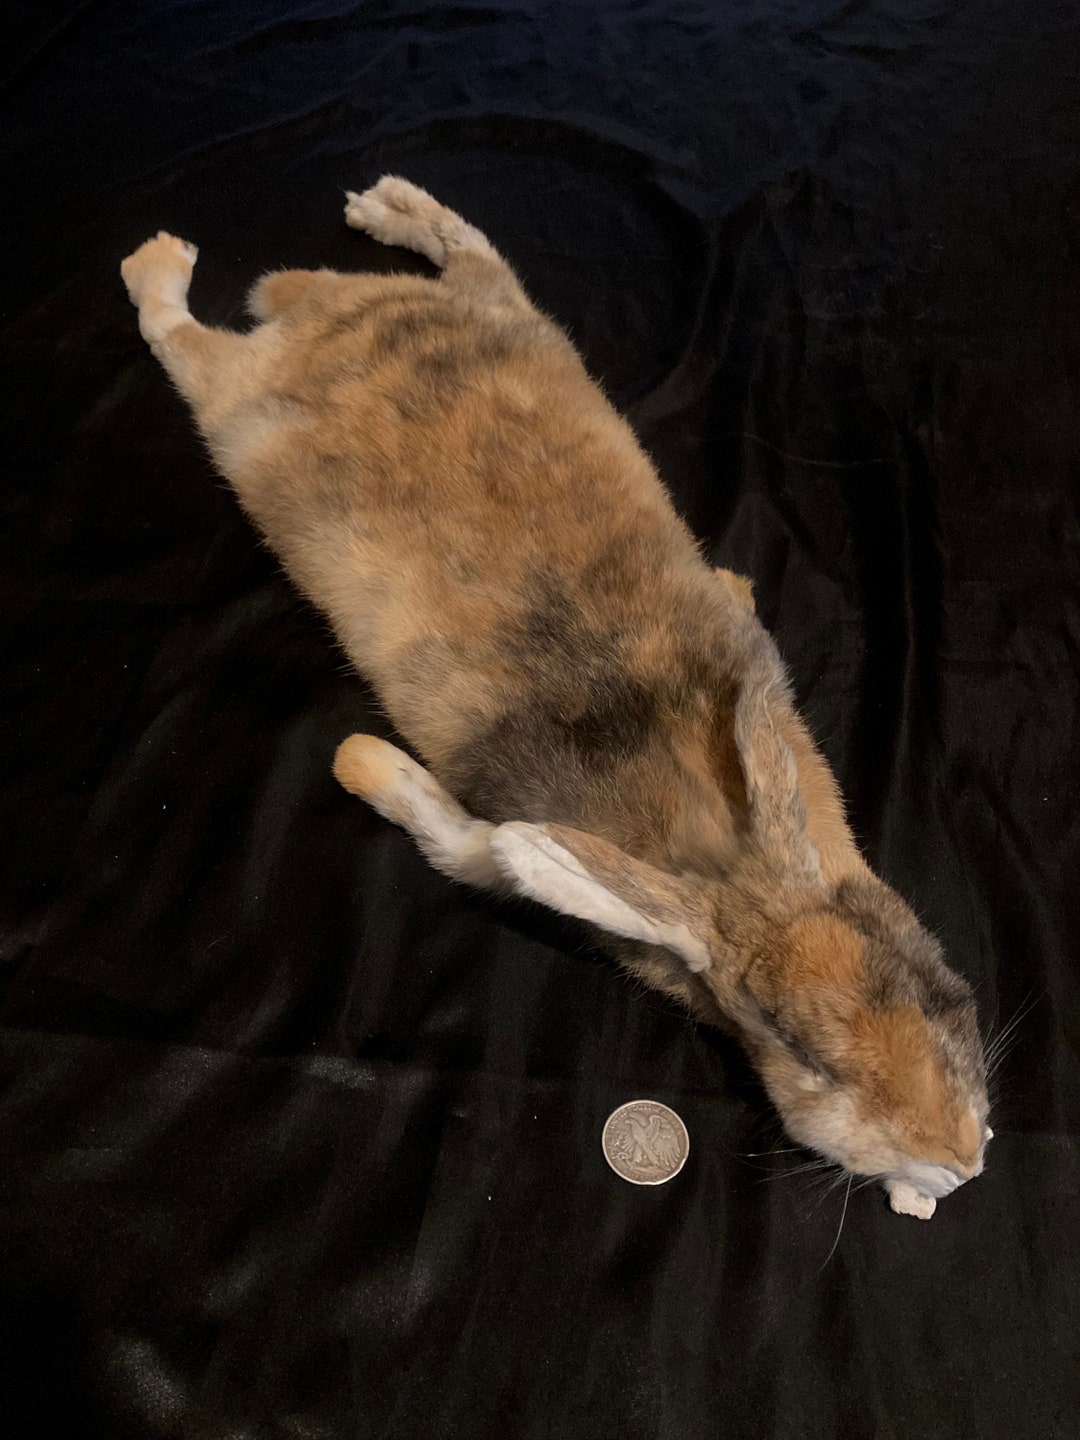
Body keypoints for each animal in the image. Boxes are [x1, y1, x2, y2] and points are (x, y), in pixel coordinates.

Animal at [121, 176, 991, 1218]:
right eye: (805, 1057)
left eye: (934, 995)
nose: (964, 1161)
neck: (735, 866)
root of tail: (313, 308)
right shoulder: (493, 844)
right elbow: (469, 846)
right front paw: (363, 768)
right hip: (231, 406)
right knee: (176, 334)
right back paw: (159, 259)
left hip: (509, 311)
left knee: (469, 249)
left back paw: (383, 204)